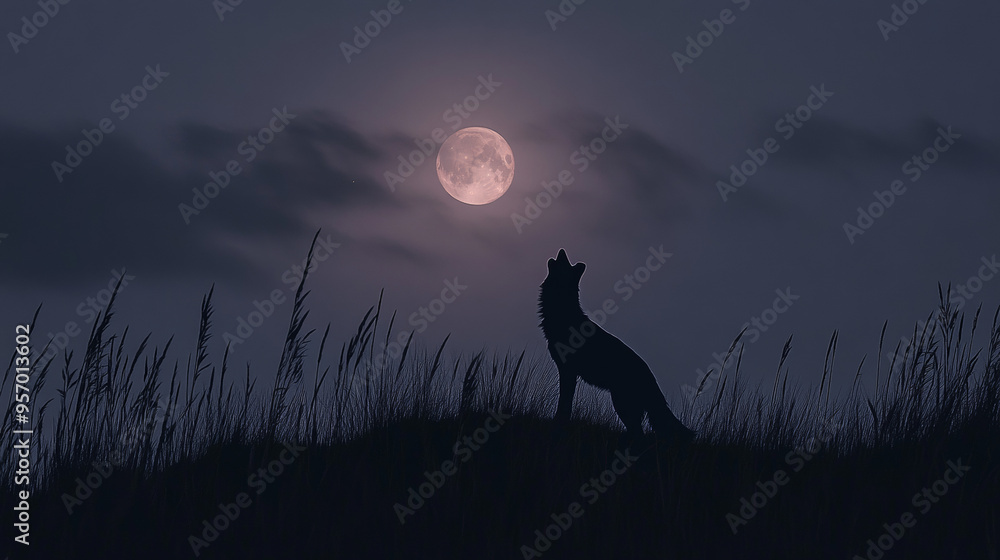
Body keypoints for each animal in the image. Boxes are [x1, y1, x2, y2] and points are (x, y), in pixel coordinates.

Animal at [539, 249, 694, 442]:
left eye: (565, 261)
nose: (562, 250)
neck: (563, 312)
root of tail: (651, 378)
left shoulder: (568, 371)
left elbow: (564, 404)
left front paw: (558, 425)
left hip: (621, 404)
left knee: (639, 435)